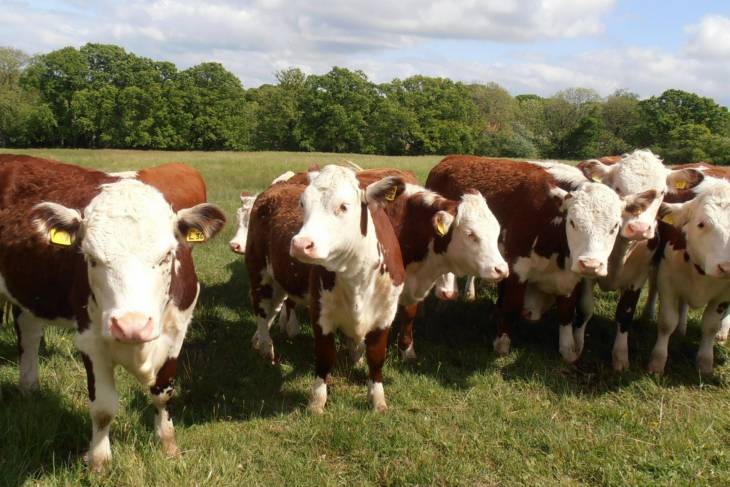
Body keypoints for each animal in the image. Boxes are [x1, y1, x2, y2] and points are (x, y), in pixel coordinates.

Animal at [0, 155, 226, 470]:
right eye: (91, 258)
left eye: (167, 255)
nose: (132, 326)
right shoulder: (90, 340)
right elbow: (103, 407)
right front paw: (99, 460)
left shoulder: (176, 332)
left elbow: (163, 394)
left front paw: (167, 445)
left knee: (29, 335)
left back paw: (28, 388)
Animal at [427, 155, 627, 362]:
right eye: (572, 222)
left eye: (614, 227)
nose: (590, 264)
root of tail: (452, 158)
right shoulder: (518, 265)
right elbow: (512, 306)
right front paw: (502, 343)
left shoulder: (570, 277)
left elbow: (566, 313)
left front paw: (567, 348)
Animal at [649, 180, 730, 375]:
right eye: (701, 224)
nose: (727, 267)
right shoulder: (667, 280)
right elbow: (667, 322)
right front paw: (657, 361)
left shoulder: (724, 294)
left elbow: (710, 326)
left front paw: (705, 363)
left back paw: (723, 332)